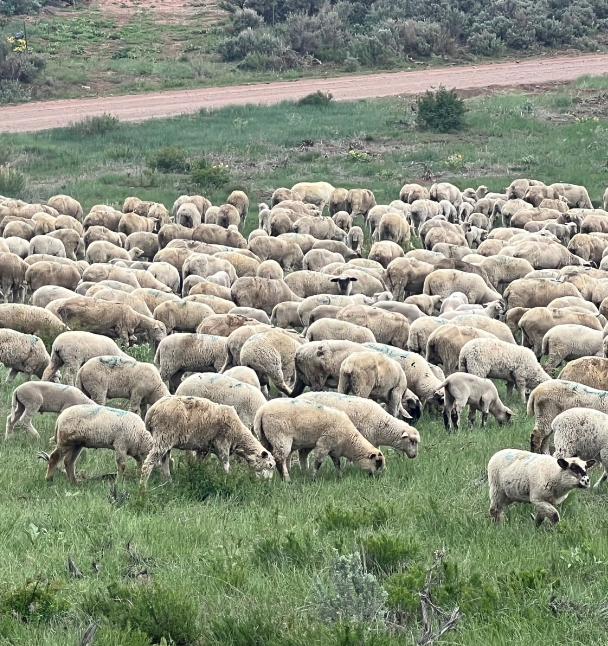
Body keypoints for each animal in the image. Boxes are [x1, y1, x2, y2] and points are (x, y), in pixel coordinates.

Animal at [141, 396, 275, 486]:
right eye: (270, 465)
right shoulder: (222, 443)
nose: (267, 484)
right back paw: (143, 486)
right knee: (148, 463)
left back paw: (169, 483)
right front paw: (228, 479)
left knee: (164, 462)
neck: (238, 435)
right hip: (163, 437)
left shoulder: (203, 448)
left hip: (166, 440)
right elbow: (225, 464)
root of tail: (151, 412)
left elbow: (198, 463)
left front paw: (195, 475)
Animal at [255, 398, 384, 481]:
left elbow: (337, 463)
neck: (349, 441)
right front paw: (313, 478)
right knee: (279, 458)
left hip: (265, 438)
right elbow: (318, 462)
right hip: (280, 436)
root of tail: (262, 411)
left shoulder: (334, 449)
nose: (378, 477)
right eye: (378, 462)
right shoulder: (325, 443)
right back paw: (286, 480)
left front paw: (340, 476)